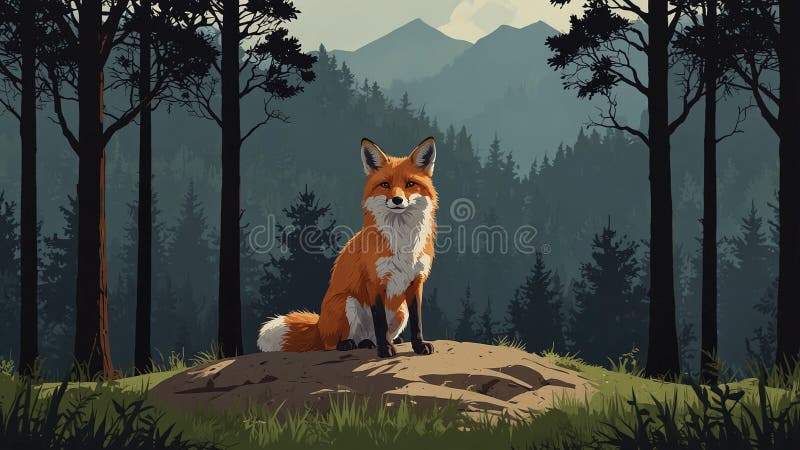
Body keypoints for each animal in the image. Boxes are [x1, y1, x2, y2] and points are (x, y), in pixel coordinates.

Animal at [256, 137, 438, 357]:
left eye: (410, 184)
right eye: (385, 185)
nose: (397, 200)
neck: (402, 240)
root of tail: (319, 326)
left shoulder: (416, 281)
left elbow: (417, 321)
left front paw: (419, 346)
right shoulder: (374, 282)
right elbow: (380, 323)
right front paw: (385, 349)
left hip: (400, 311)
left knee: (372, 336)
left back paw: (379, 342)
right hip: (347, 303)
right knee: (332, 344)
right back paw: (352, 344)